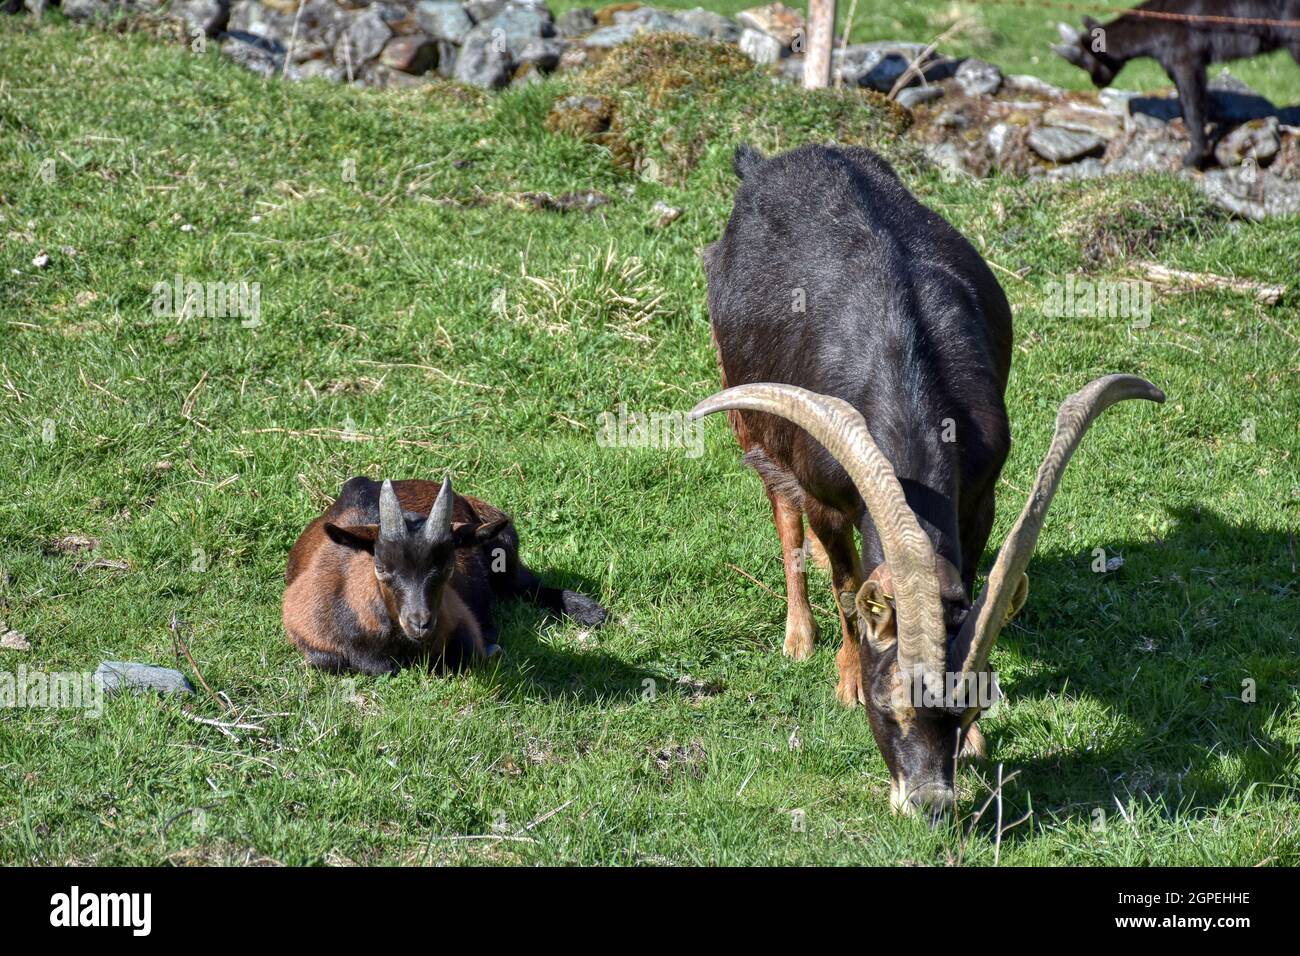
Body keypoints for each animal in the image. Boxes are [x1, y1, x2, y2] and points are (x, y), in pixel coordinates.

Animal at [284, 476, 608, 675]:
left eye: (449, 566)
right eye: (380, 566)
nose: (421, 623)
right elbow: (333, 660)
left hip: (504, 547)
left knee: (526, 585)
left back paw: (590, 611)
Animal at [693, 143, 1163, 816]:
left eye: (967, 707)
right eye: (890, 704)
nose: (931, 802)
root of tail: (765, 163)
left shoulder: (980, 493)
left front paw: (977, 745)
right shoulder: (828, 491)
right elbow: (847, 585)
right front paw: (848, 678)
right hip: (746, 405)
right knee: (781, 507)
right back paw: (799, 634)